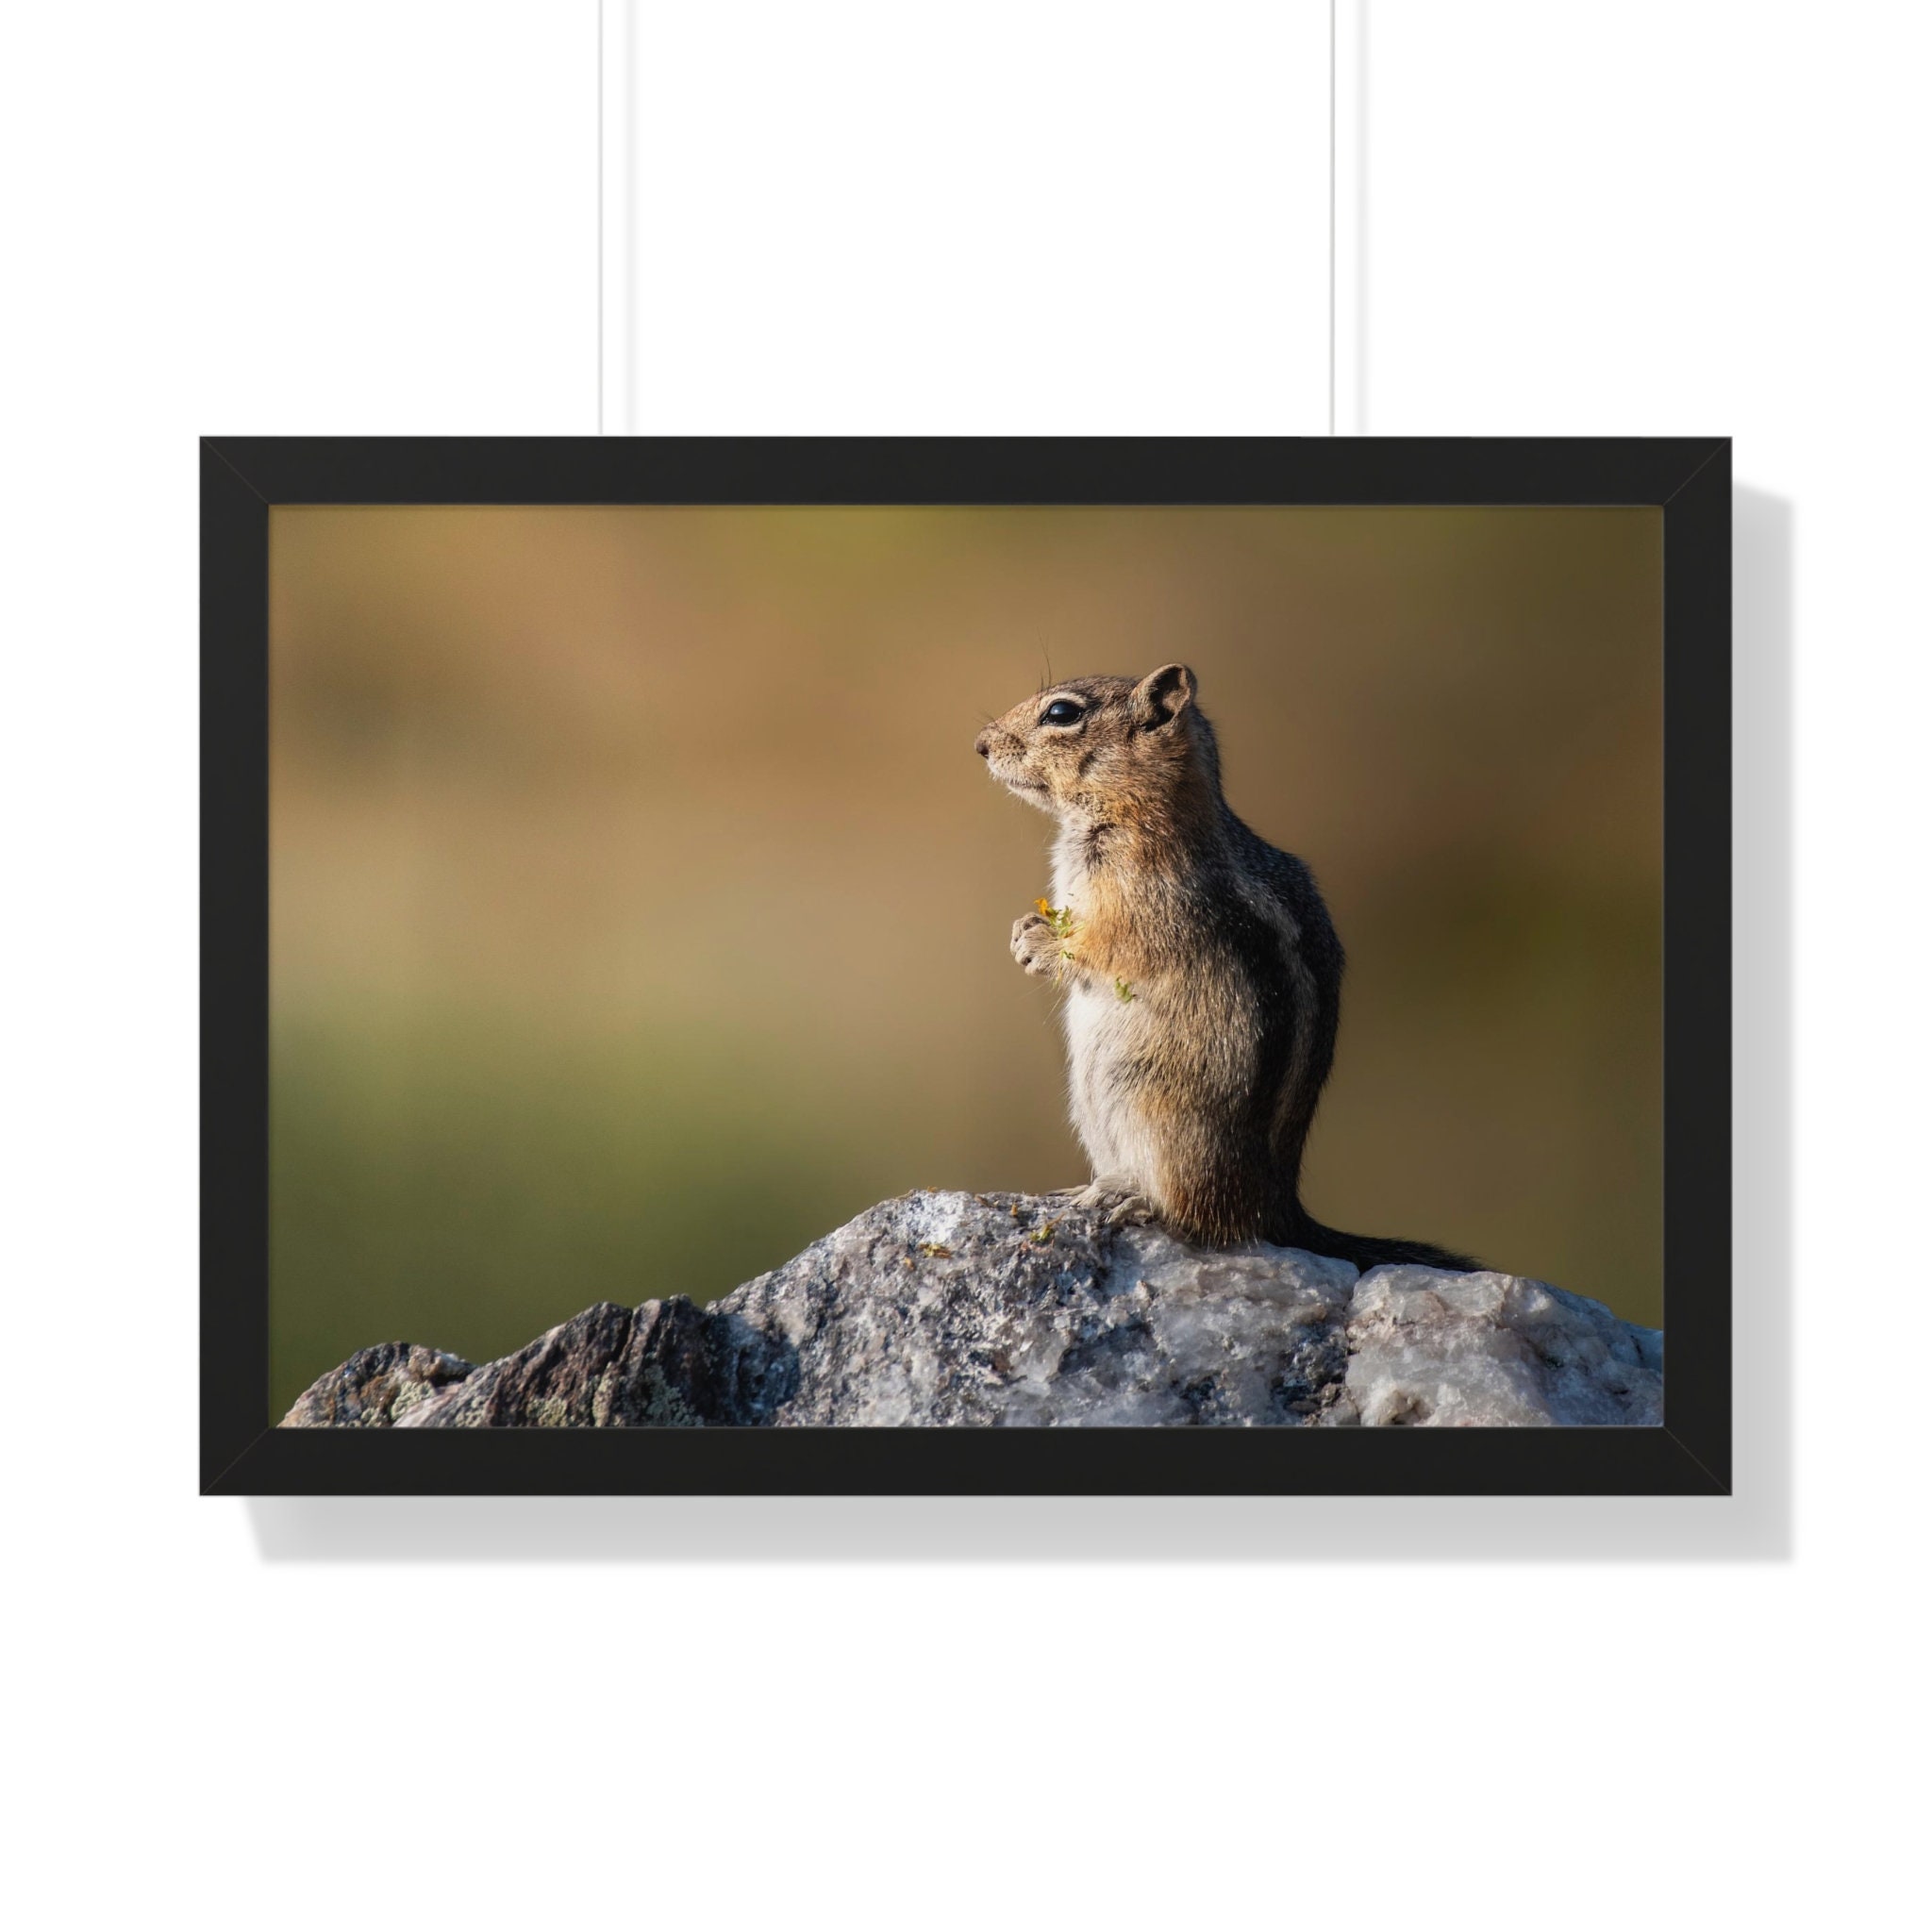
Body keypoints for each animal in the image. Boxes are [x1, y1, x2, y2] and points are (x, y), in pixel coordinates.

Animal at [974, 663, 1474, 1273]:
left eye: (1062, 713)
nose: (981, 745)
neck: (1140, 808)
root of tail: (1274, 1203)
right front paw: (1023, 928)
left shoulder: (1144, 905)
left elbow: (1102, 949)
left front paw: (1039, 946)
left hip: (1159, 1115)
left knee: (1200, 1217)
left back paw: (1133, 1202)